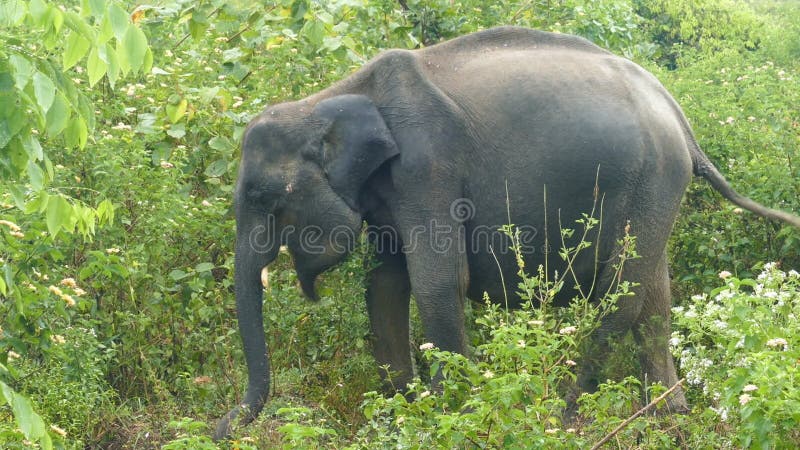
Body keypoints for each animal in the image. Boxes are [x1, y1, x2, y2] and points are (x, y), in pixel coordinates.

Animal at [214, 27, 800, 439]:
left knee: (623, 293)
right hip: (656, 188)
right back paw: (667, 418)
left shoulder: (428, 168)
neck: (330, 97)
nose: (222, 428)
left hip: (652, 178)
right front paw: (400, 412)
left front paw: (451, 412)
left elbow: (437, 281)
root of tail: (681, 118)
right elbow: (385, 283)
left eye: (262, 198)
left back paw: (566, 410)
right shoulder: (389, 187)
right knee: (654, 294)